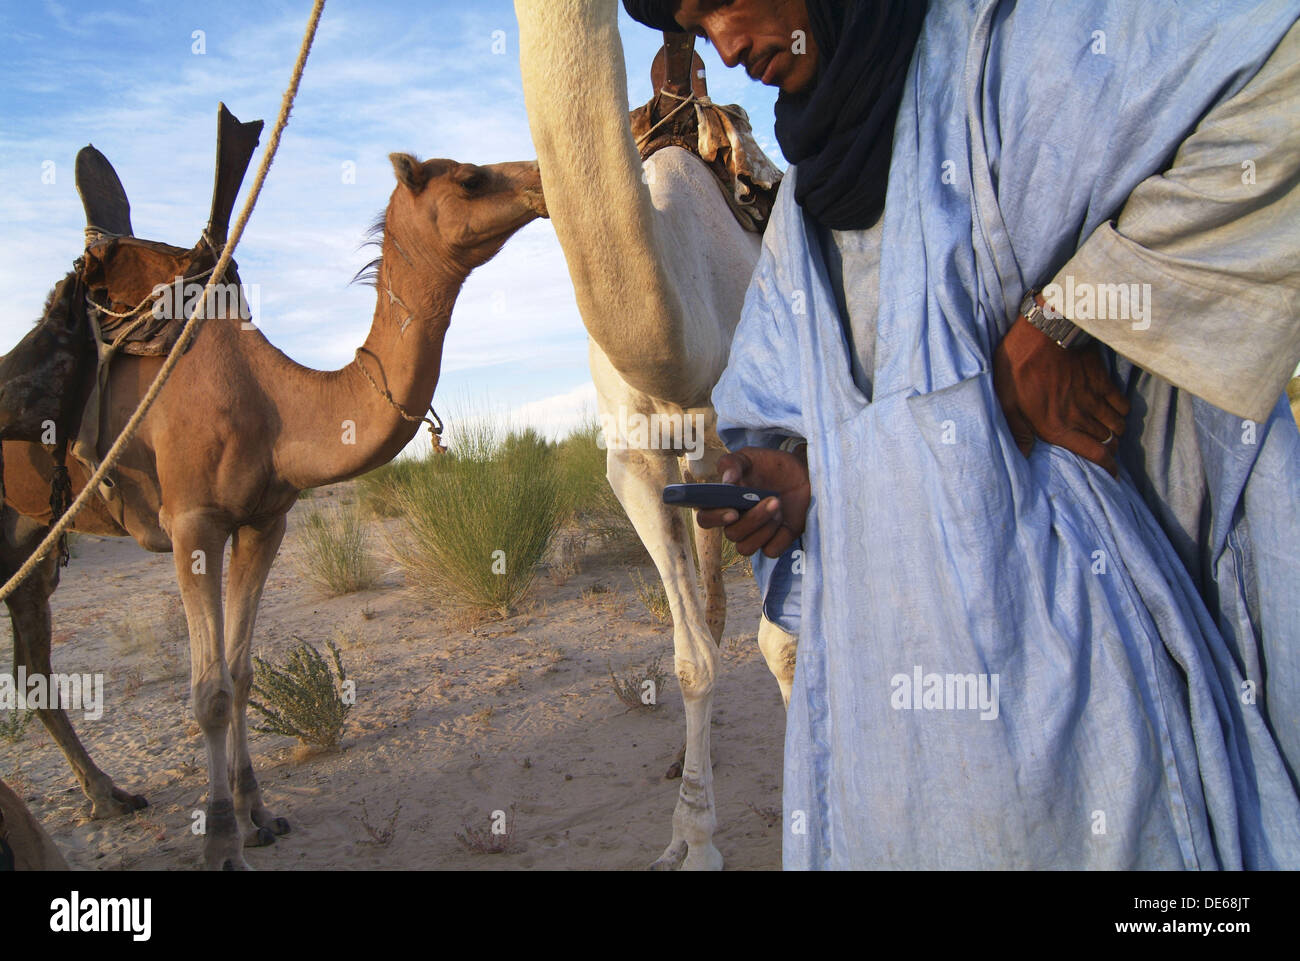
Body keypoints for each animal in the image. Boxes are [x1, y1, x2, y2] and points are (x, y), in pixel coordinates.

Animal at [1, 106, 546, 868]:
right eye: (469, 177)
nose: (544, 178)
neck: (274, 400)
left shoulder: (266, 519)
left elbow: (243, 673)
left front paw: (259, 815)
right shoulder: (194, 521)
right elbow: (209, 690)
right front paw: (221, 841)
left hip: (30, 539)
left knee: (33, 663)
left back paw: (109, 795)